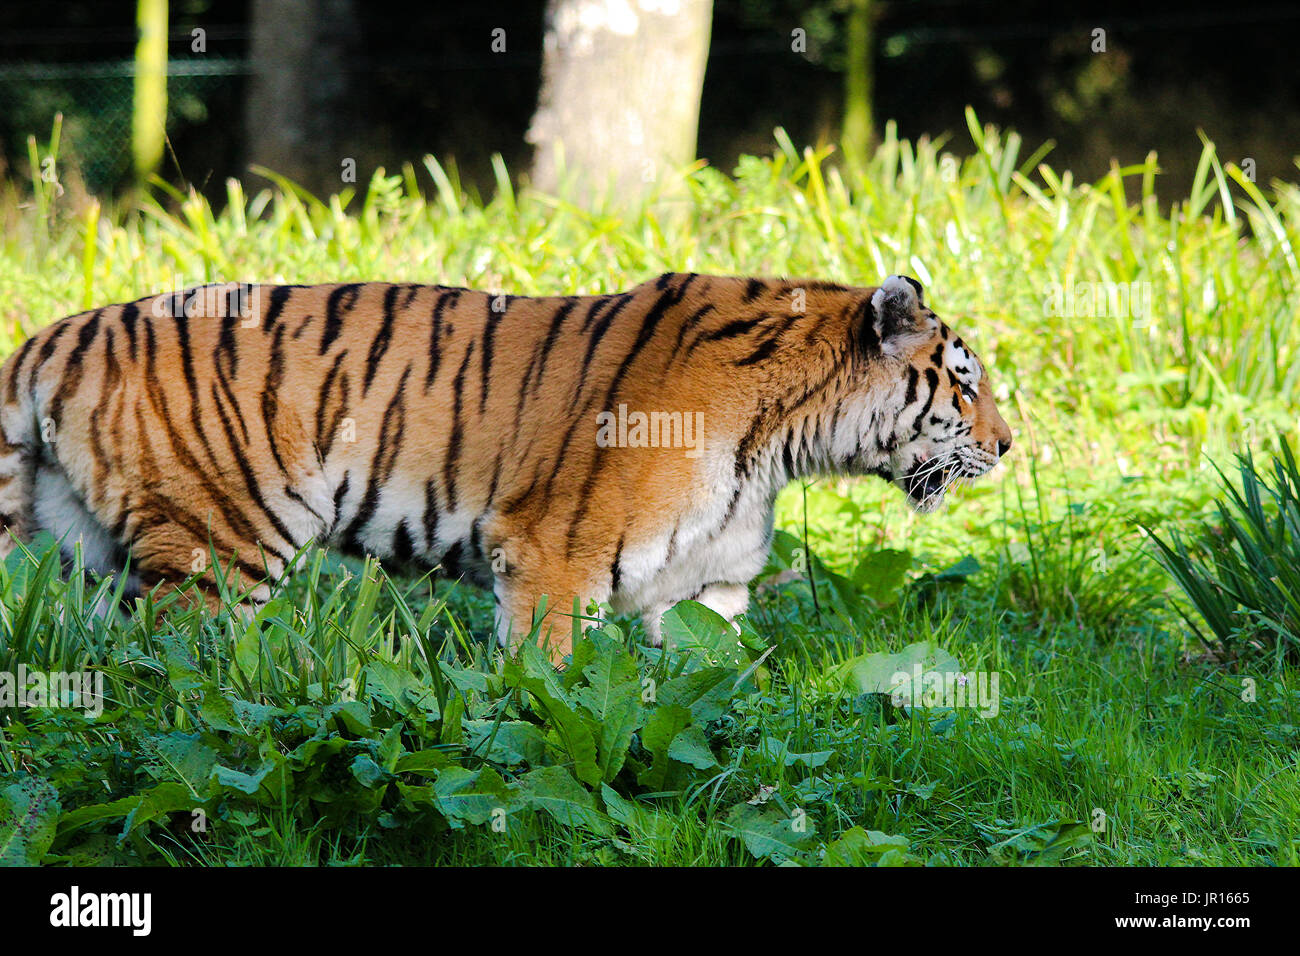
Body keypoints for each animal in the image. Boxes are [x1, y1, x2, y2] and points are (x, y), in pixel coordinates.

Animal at [0, 272, 1011, 661]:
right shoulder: (554, 557)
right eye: (964, 385)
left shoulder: (708, 588)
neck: (784, 440)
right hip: (217, 545)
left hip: (86, 556)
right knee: (175, 672)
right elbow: (554, 685)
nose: (1007, 446)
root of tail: (55, 335)